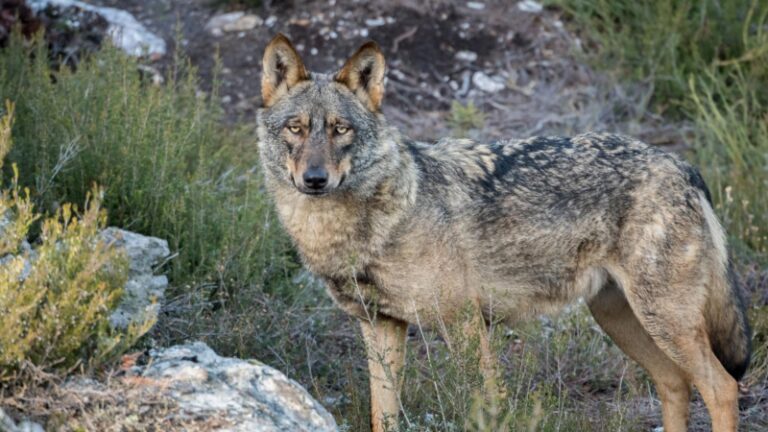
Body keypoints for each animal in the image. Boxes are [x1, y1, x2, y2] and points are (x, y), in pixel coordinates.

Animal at [256, 34, 751, 432]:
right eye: (296, 128)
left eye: (340, 129)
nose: (314, 179)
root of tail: (682, 165)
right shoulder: (381, 327)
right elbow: (384, 416)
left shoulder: (464, 323)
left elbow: (484, 407)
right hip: (622, 319)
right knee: (676, 384)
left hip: (662, 320)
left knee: (722, 387)